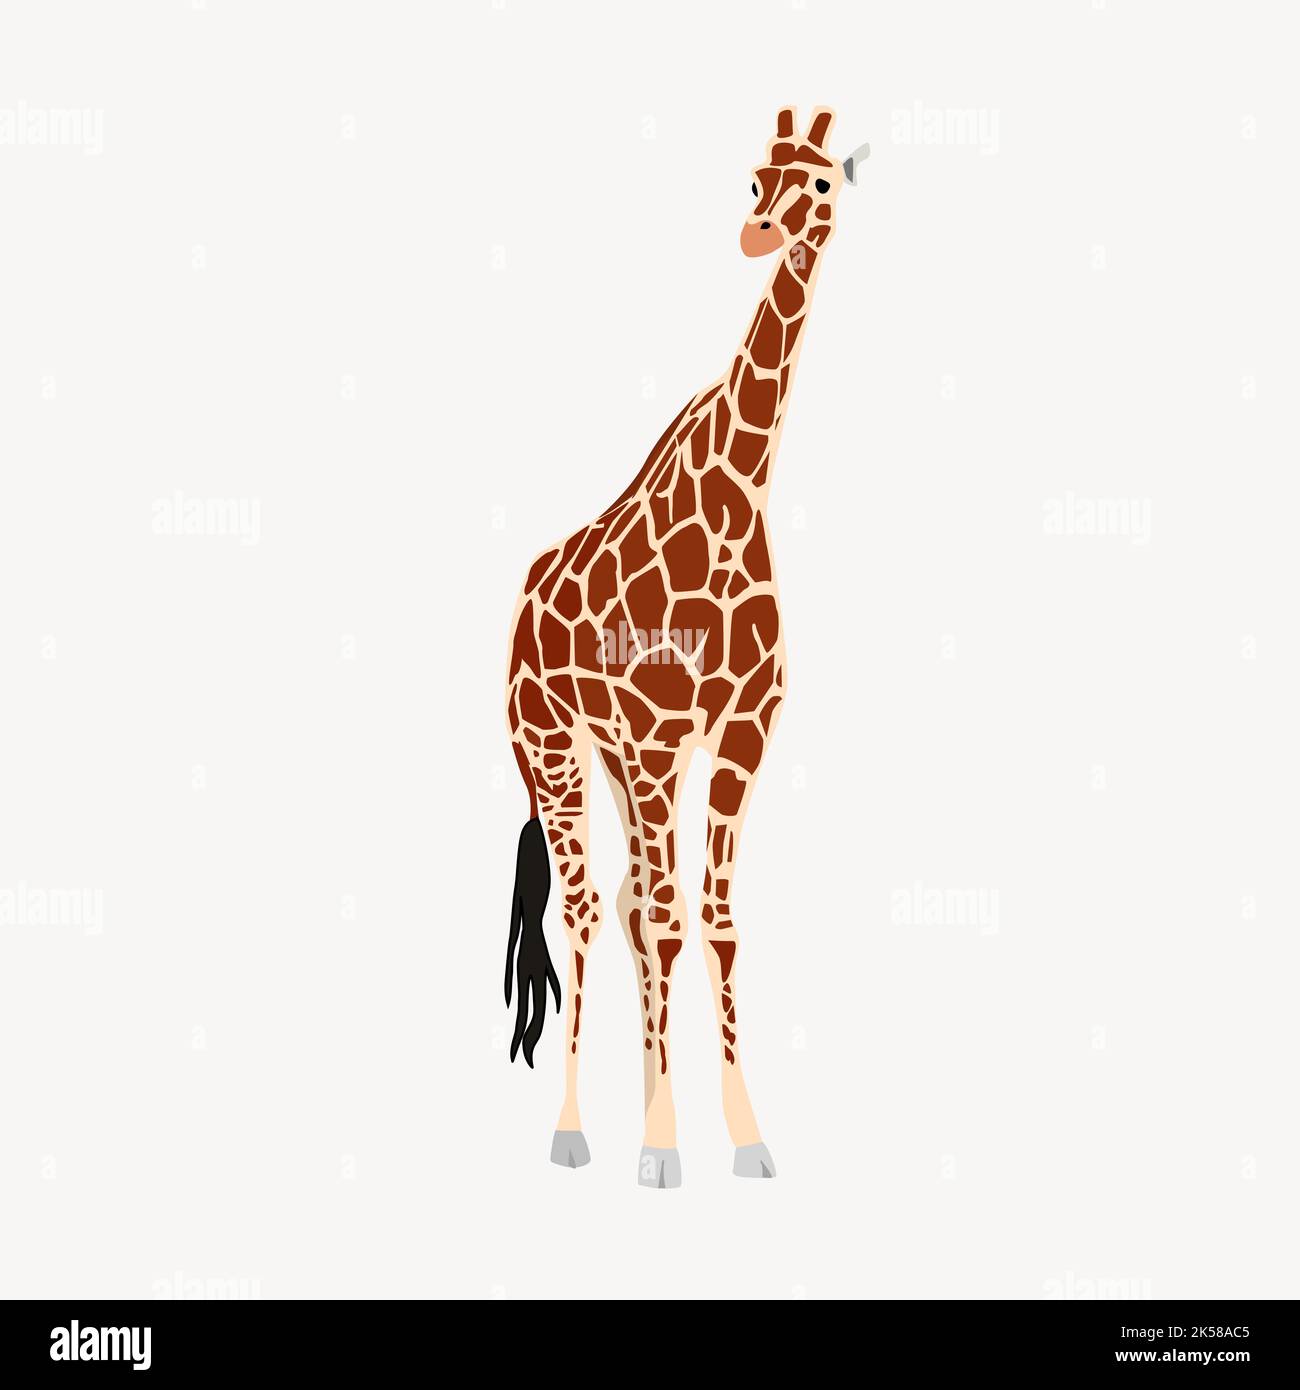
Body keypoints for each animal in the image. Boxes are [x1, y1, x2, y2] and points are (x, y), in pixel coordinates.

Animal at [503, 106, 869, 1188]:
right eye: (752, 178)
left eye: (823, 184)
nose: (759, 235)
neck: (743, 488)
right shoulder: (666, 737)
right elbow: (667, 920)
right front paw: (663, 1148)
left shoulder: (737, 734)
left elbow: (713, 922)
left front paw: (742, 1139)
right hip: (553, 749)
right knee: (585, 910)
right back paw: (577, 1132)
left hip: (622, 760)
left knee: (628, 905)